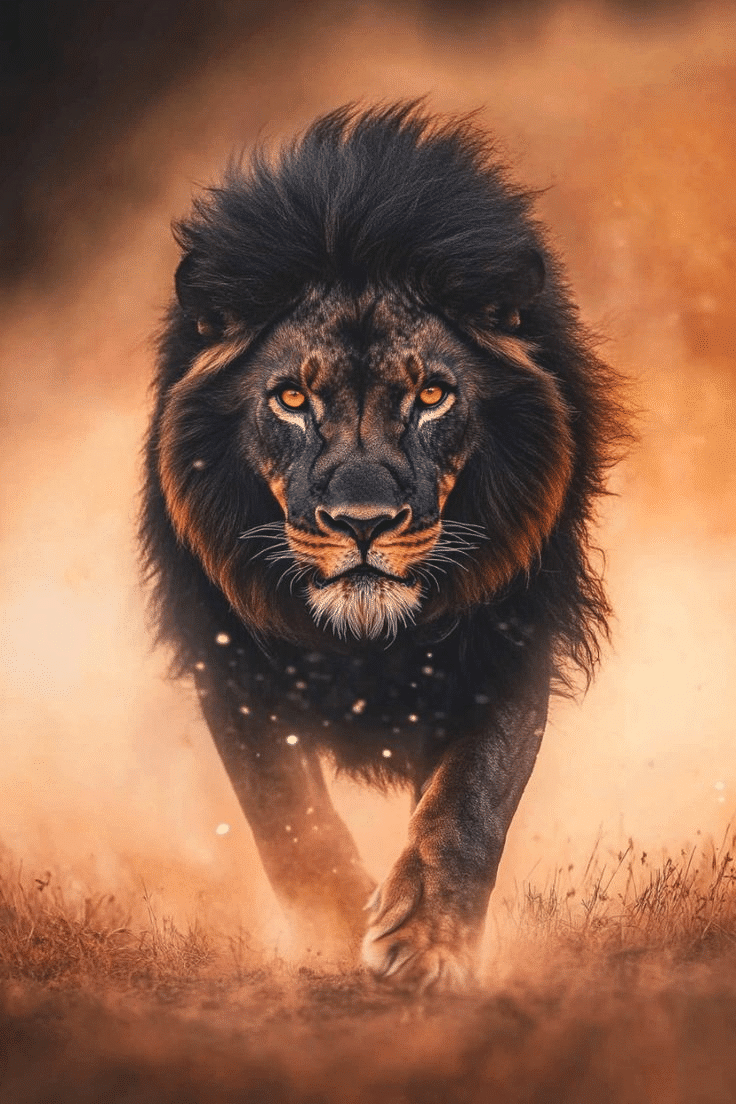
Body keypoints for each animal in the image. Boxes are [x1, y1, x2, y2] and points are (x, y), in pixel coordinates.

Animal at [140, 104, 628, 993]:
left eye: (431, 394)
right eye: (291, 398)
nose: (363, 521)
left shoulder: (507, 645)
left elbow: (469, 801)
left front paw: (429, 943)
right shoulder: (232, 661)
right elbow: (286, 814)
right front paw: (332, 937)